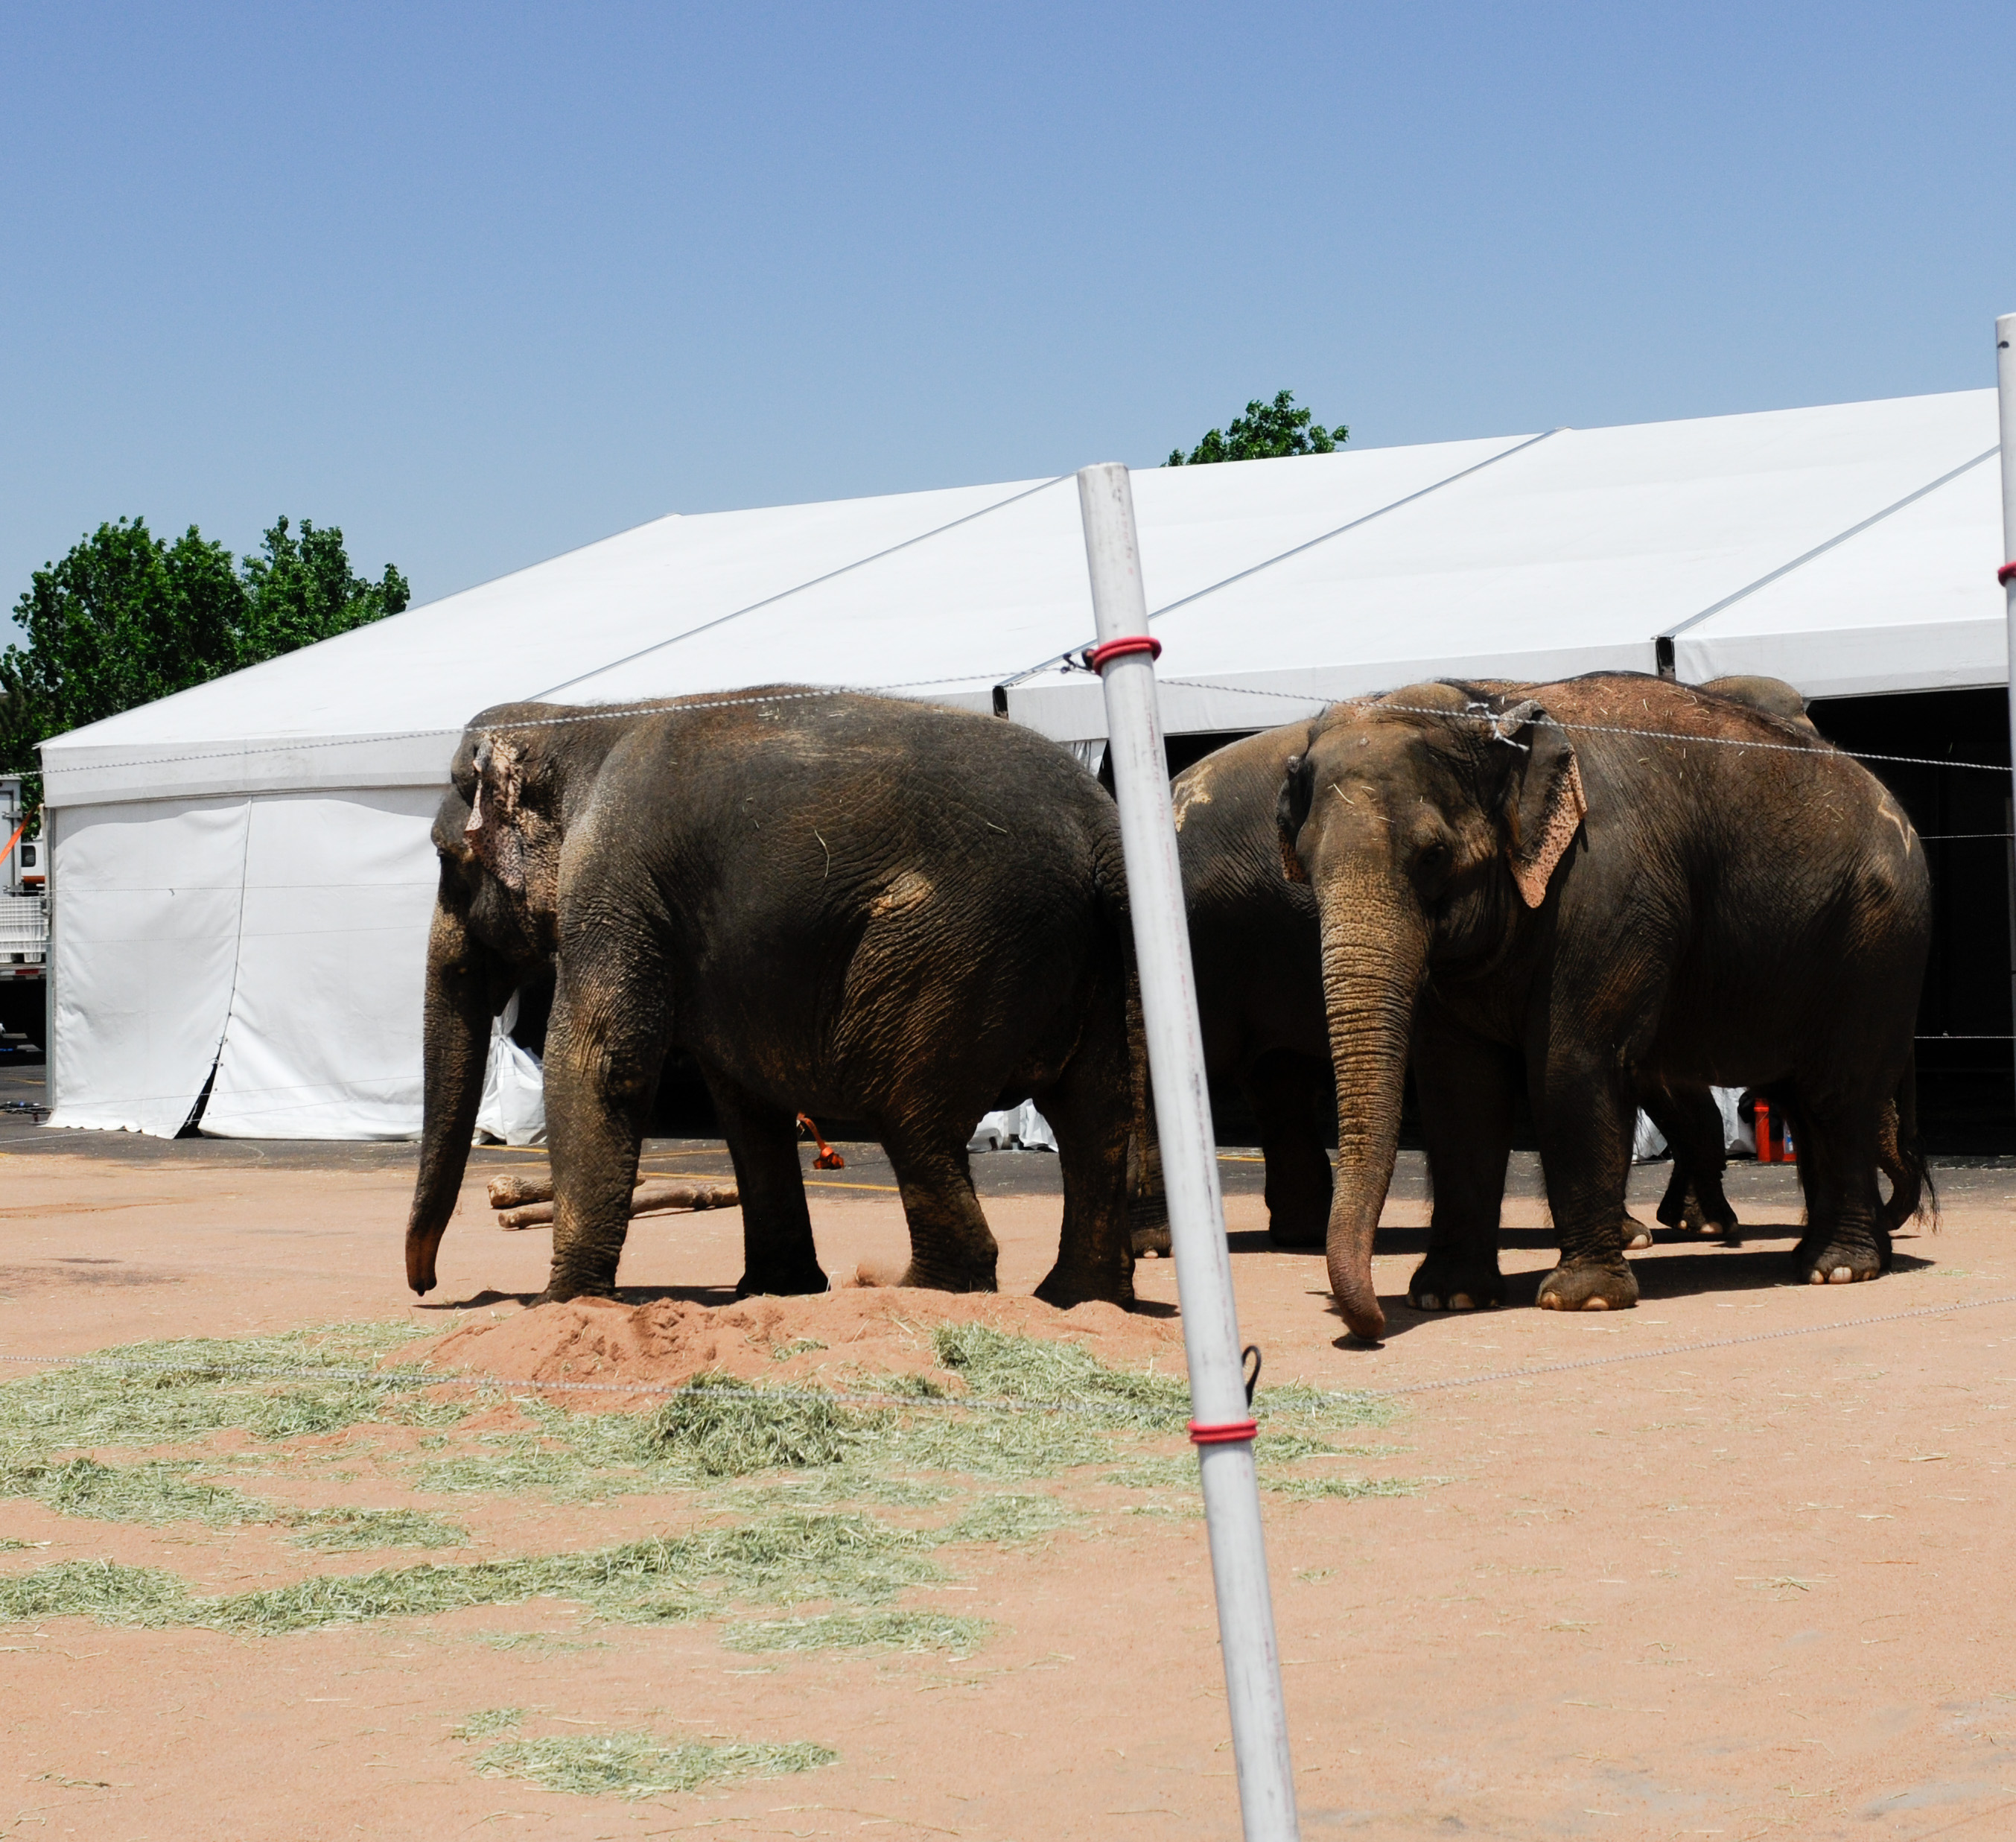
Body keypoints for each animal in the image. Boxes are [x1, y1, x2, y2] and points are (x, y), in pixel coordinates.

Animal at [403, 686, 1147, 1308]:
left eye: (444, 859)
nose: (427, 1286)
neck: (582, 721)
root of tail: (1101, 829)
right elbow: (743, 1101)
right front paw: (775, 1290)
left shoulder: (614, 876)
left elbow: (602, 1063)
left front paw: (561, 1306)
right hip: (1100, 958)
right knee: (1096, 1116)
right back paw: (1077, 1299)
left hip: (961, 946)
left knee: (911, 1114)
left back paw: (915, 1289)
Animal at [1275, 672, 1932, 1340]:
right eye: (1305, 863)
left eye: (1432, 855)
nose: (1371, 1324)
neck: (1488, 704)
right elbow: (1460, 1089)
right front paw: (1447, 1297)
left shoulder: (1605, 884)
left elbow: (1569, 1065)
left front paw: (1581, 1299)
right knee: (1805, 1095)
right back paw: (1827, 1257)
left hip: (1877, 939)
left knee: (1836, 1093)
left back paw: (1838, 1269)